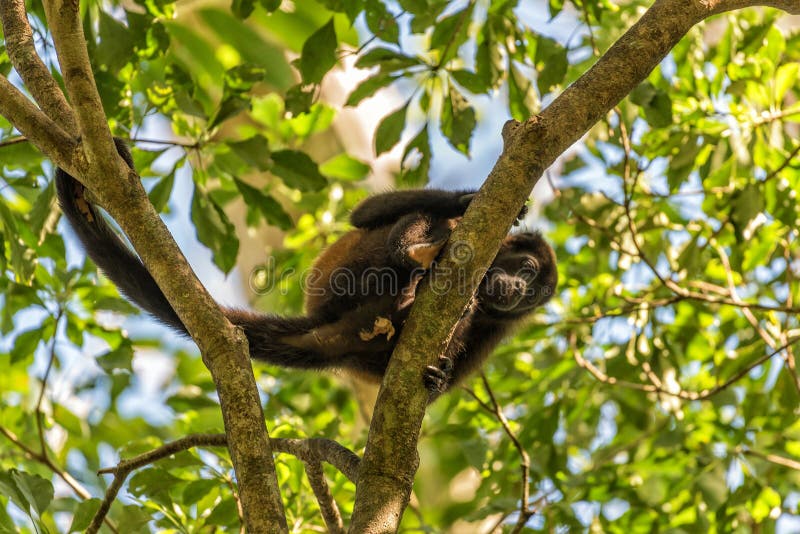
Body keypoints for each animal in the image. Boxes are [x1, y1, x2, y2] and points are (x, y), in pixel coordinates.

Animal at [55, 139, 557, 399]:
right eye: (526, 270)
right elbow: (366, 213)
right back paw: (415, 255)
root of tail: (330, 323)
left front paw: (437, 381)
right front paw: (466, 199)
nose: (517, 290)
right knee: (404, 229)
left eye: (533, 293)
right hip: (341, 274)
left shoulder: (500, 328)